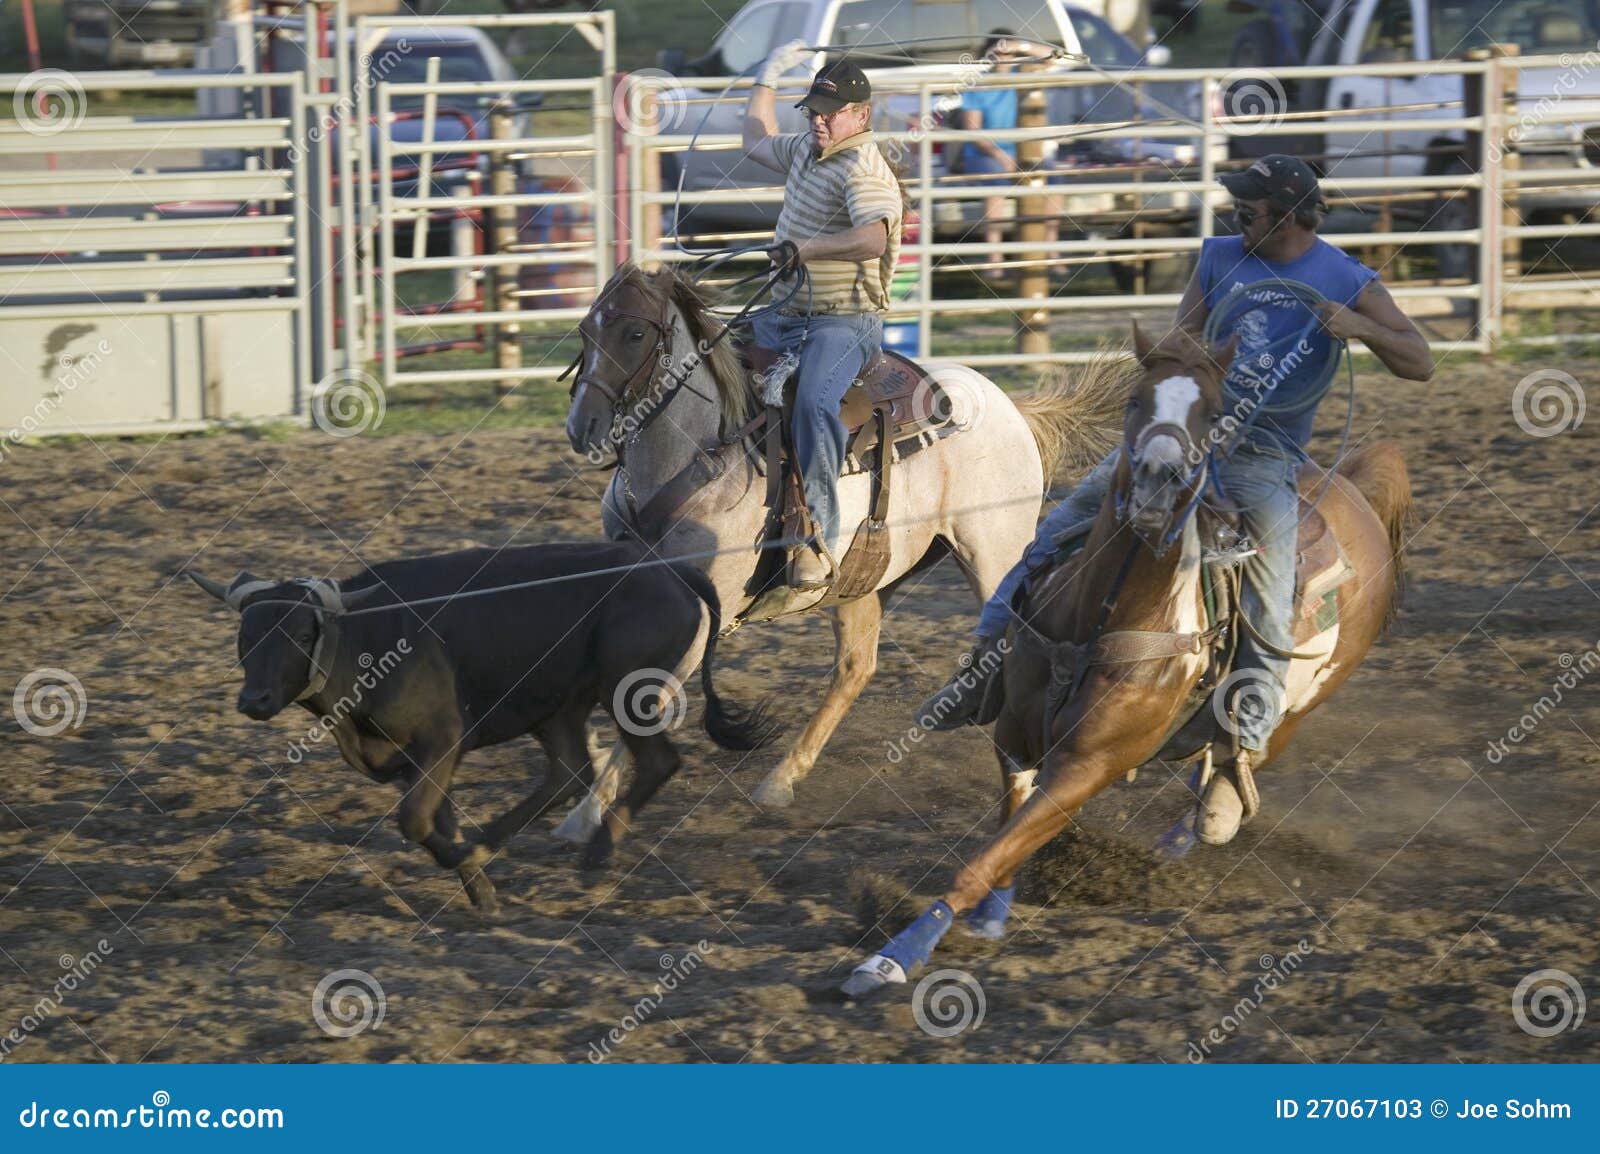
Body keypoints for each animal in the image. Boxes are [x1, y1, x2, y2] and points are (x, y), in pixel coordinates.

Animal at [188, 542, 776, 913]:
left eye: (301, 633)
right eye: (246, 635)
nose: (254, 700)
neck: (367, 639)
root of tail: (668, 569)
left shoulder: (443, 737)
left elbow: (415, 821)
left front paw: (466, 861)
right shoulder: (413, 760)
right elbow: (436, 819)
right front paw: (481, 889)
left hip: (626, 689)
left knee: (656, 762)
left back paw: (597, 853)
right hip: (559, 706)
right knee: (568, 773)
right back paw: (495, 839)